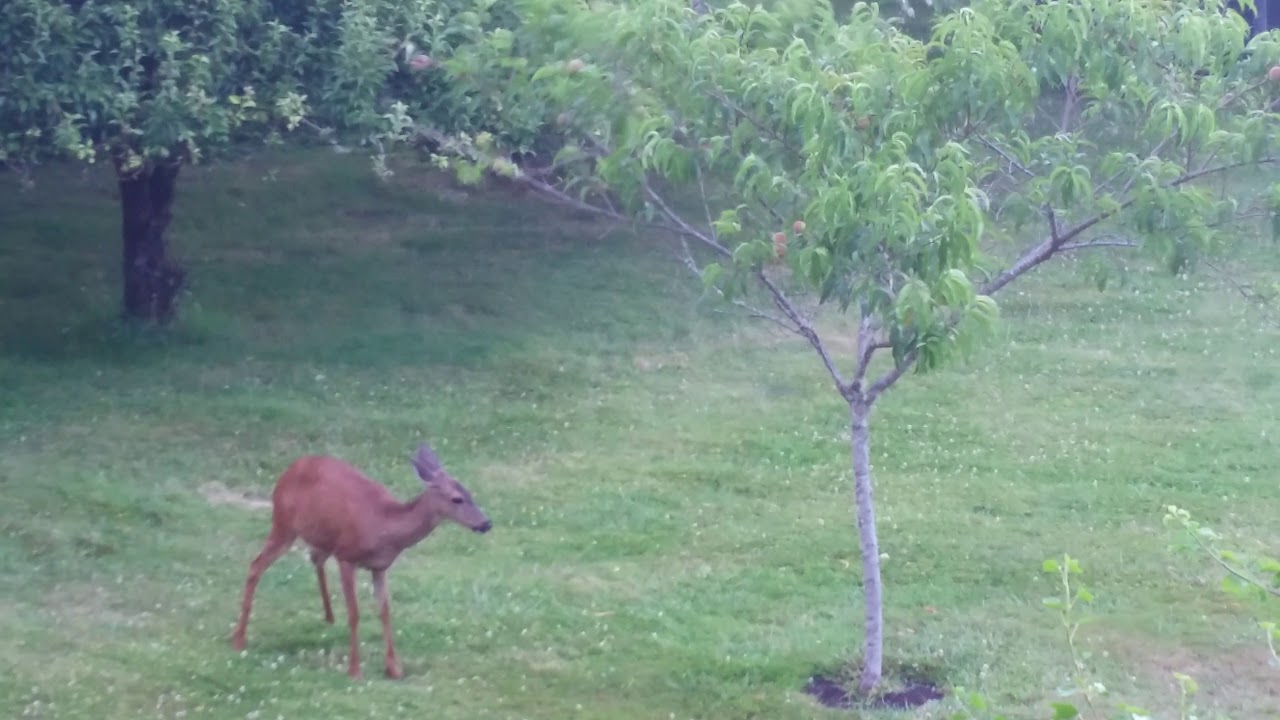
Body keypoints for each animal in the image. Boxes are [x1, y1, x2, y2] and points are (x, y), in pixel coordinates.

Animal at [230, 443, 492, 680]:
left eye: (470, 493)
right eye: (457, 499)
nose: (486, 523)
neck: (386, 527)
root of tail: (289, 470)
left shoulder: (380, 566)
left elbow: (385, 611)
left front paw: (394, 668)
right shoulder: (347, 556)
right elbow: (354, 613)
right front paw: (355, 670)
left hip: (321, 536)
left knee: (314, 558)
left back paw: (328, 617)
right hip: (283, 524)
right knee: (256, 565)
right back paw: (239, 639)